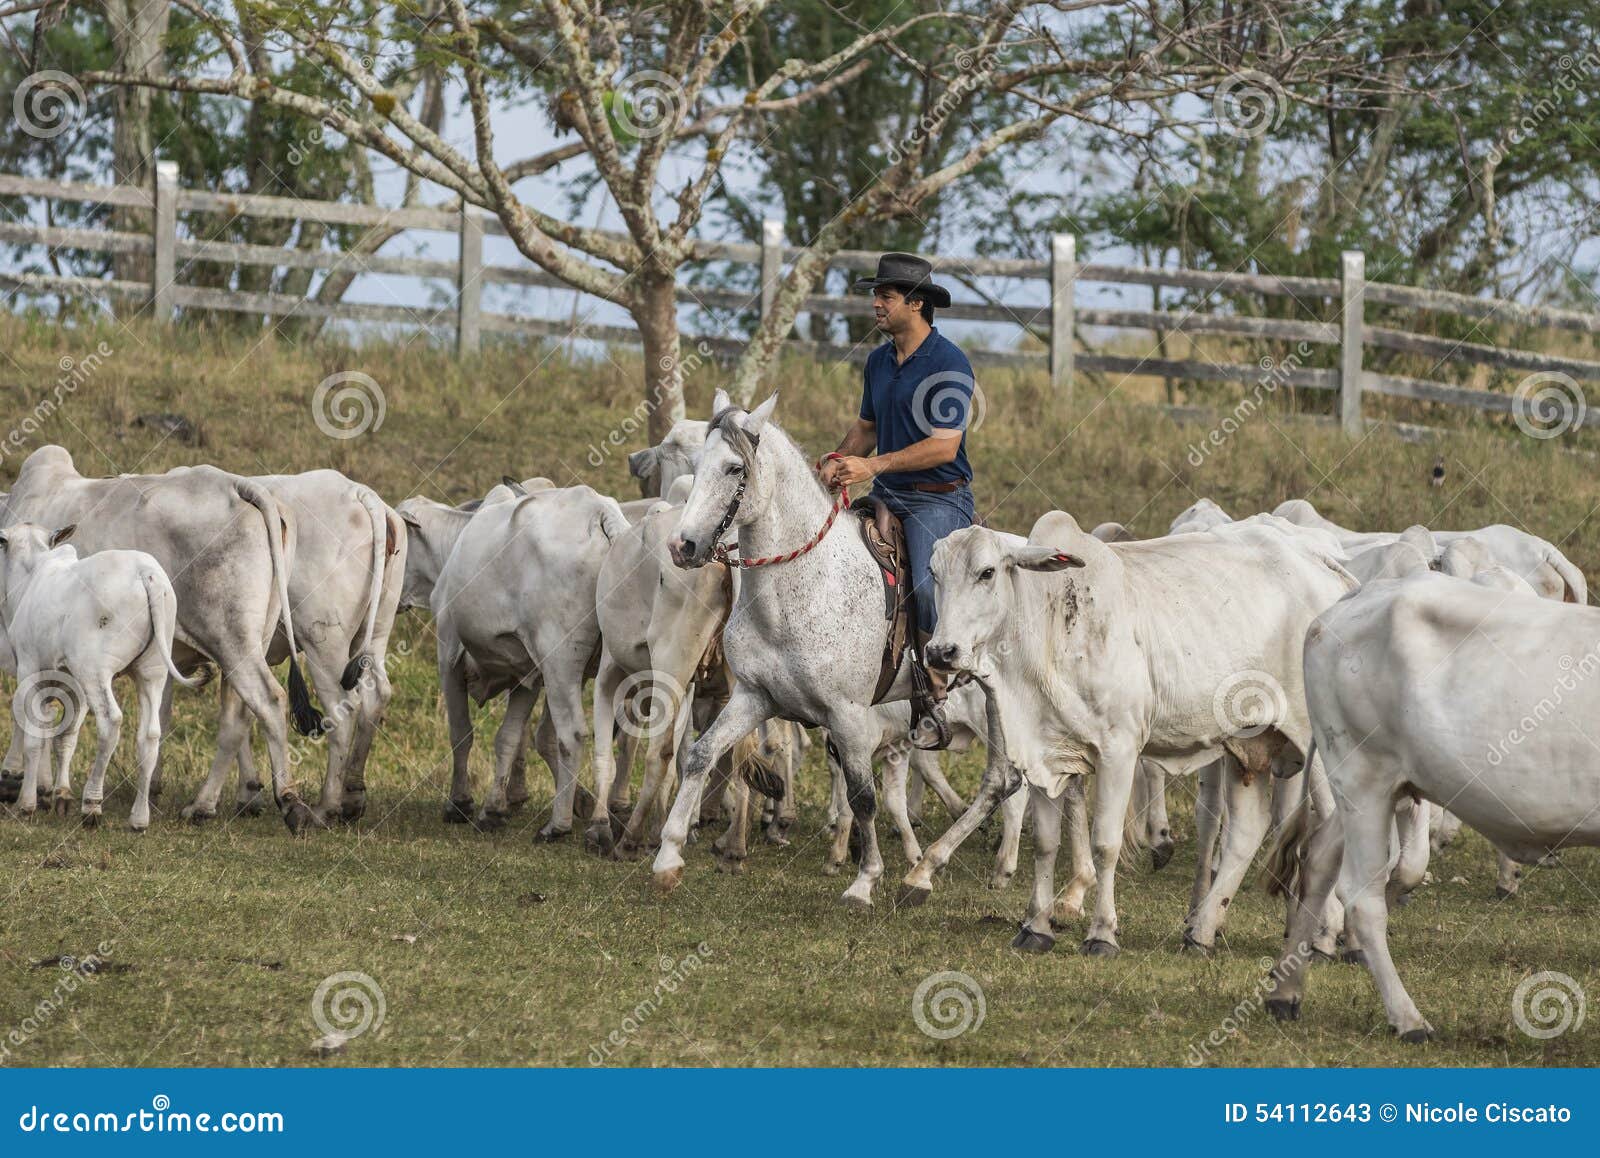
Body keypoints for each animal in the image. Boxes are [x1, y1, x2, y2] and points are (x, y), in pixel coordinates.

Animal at [0, 523, 202, 829]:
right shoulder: (72, 684)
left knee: (111, 722)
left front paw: (27, 804)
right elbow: (65, 737)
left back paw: (92, 804)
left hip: (95, 671)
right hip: (152, 671)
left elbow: (34, 739)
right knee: (150, 735)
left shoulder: (29, 670)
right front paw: (60, 795)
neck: (32, 574)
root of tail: (147, 573)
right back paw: (139, 817)